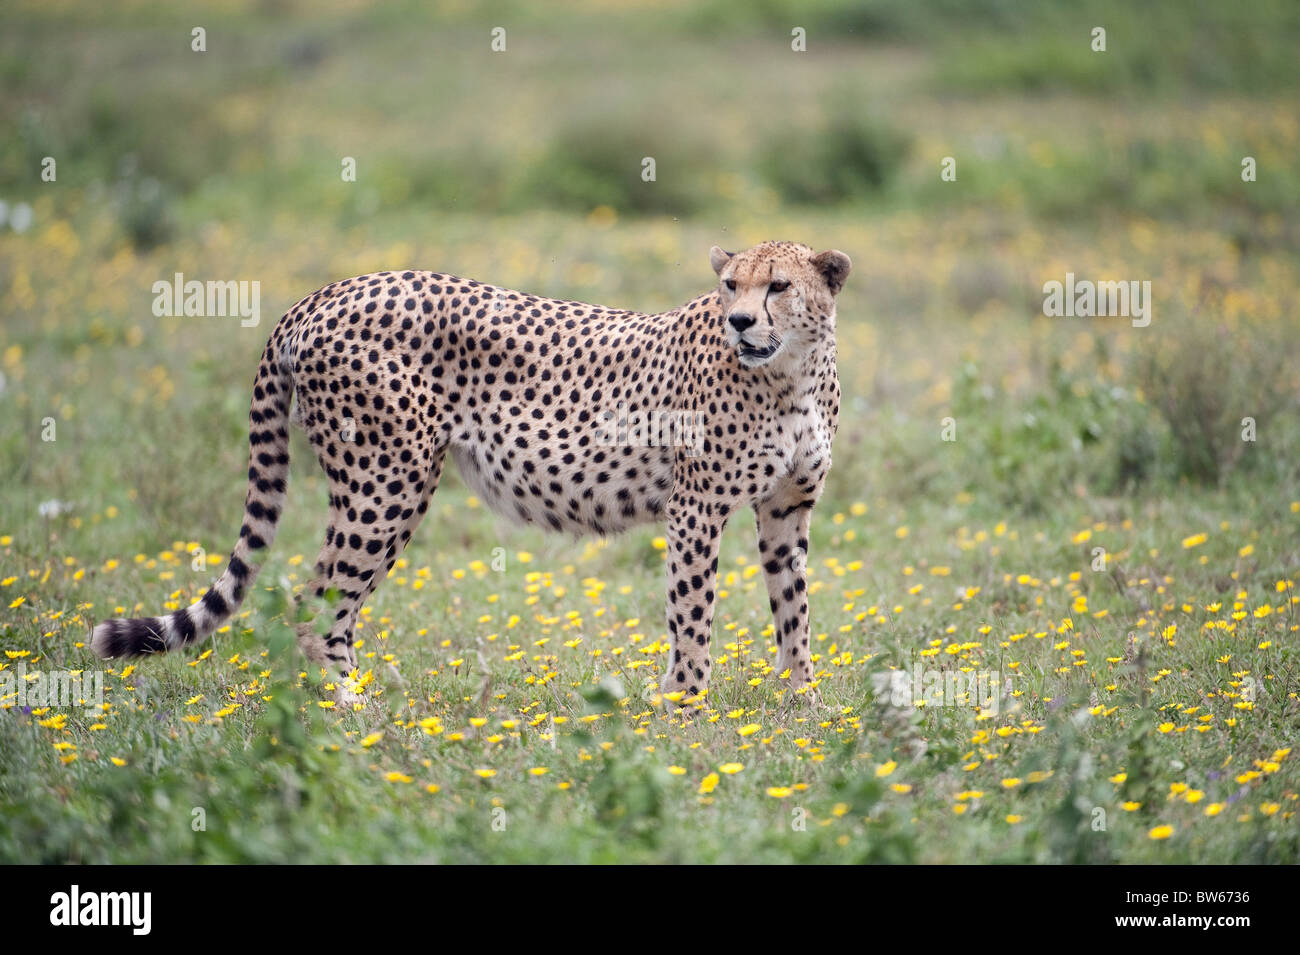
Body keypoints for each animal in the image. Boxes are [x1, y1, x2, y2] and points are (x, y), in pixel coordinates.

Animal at [91, 240, 851, 708]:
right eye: (730, 285)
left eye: (779, 285)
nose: (740, 321)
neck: (791, 374)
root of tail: (327, 292)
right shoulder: (696, 506)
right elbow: (693, 613)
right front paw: (687, 708)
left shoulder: (787, 509)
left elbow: (794, 609)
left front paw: (804, 701)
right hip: (387, 480)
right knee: (313, 600)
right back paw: (347, 706)